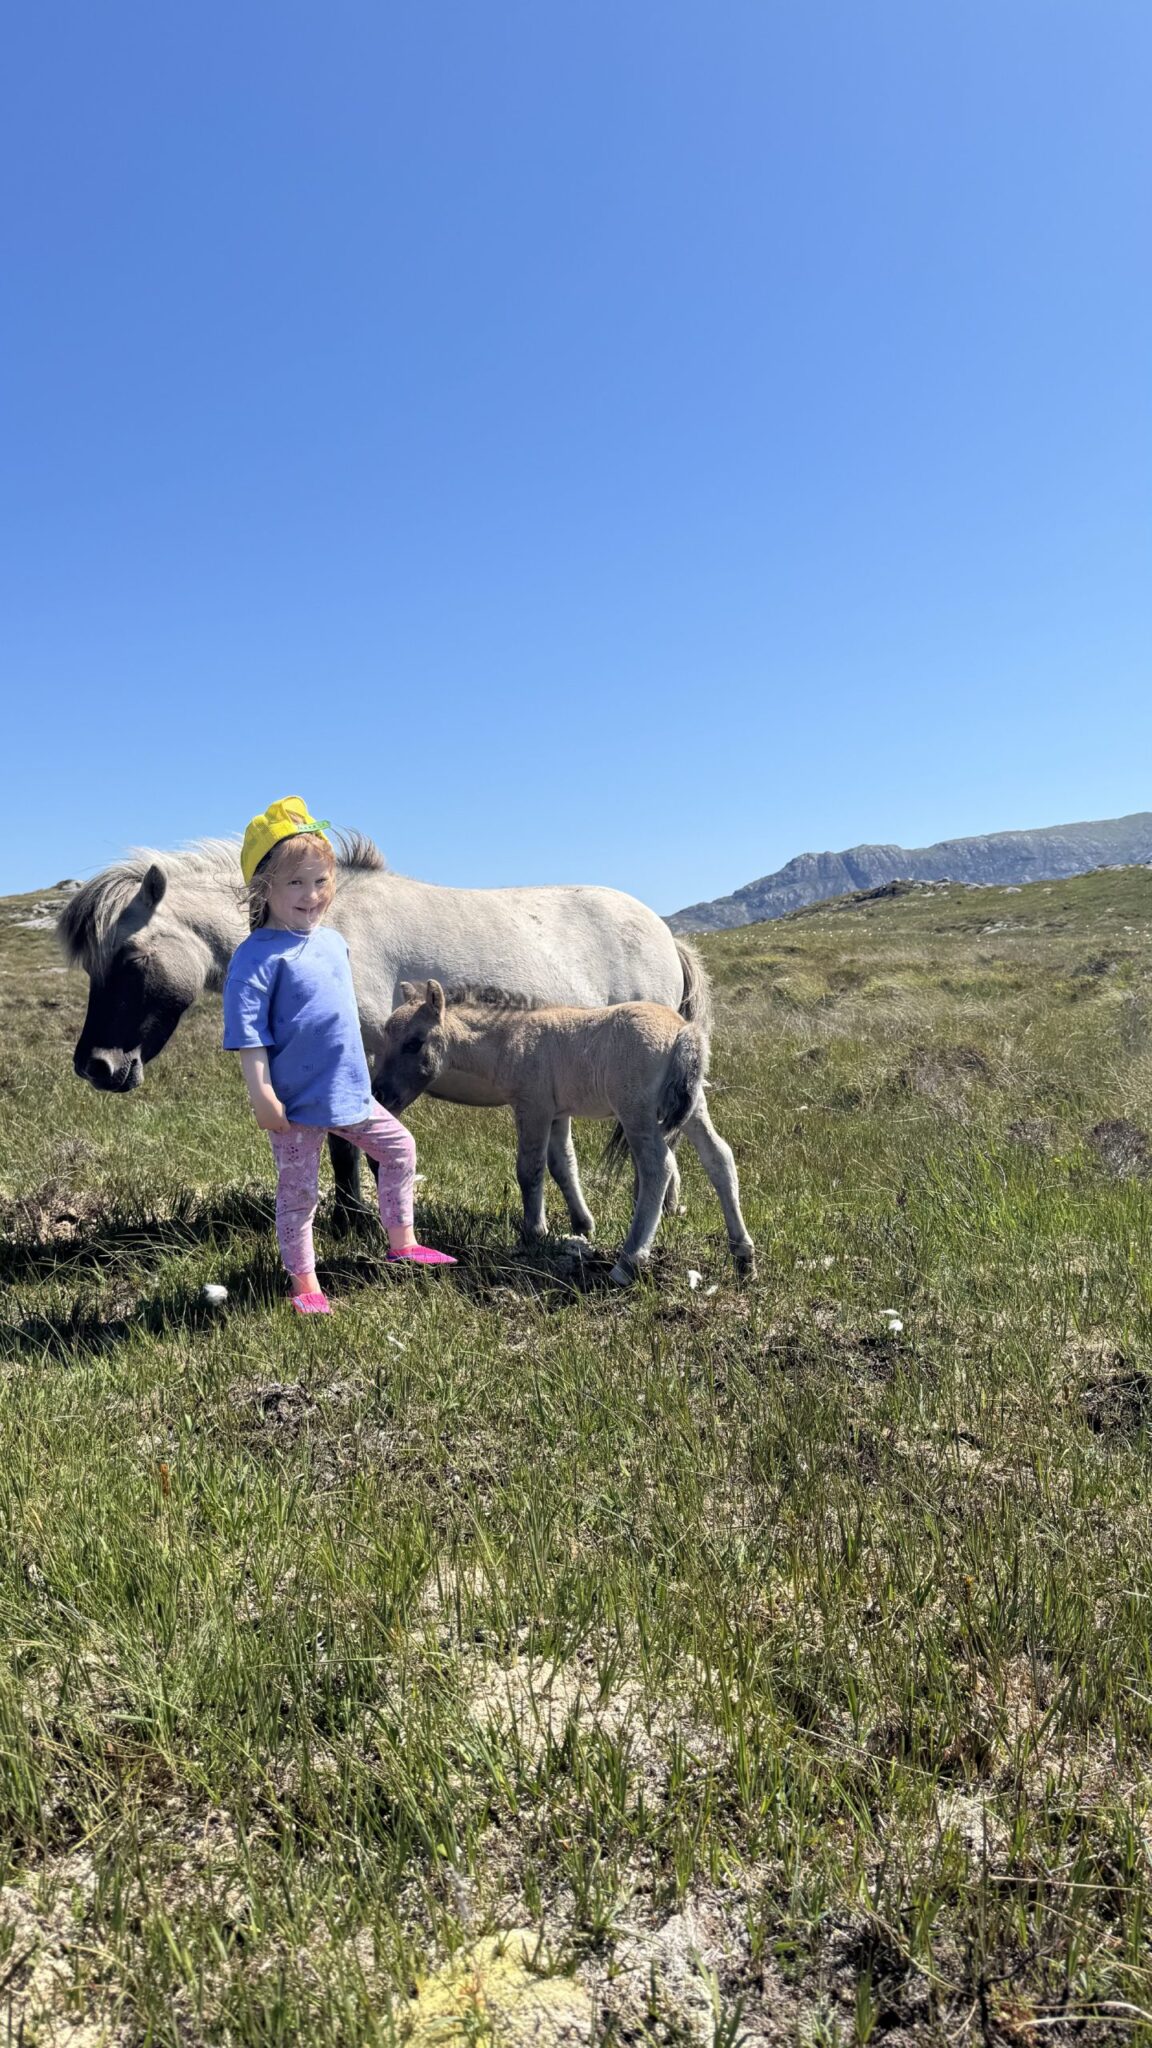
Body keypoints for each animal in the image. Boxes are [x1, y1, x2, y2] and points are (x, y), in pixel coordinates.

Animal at [57, 832, 712, 1219]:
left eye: (130, 958)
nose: (96, 1067)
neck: (321, 929)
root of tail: (664, 932)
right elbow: (341, 1146)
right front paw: (347, 1217)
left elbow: (368, 1142)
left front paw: (377, 1220)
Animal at [376, 980, 756, 1285]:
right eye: (386, 1037)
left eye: (414, 1042)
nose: (381, 1094)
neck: (511, 1039)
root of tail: (683, 1031)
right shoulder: (558, 1115)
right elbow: (564, 1166)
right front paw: (582, 1225)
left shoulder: (534, 1107)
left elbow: (529, 1170)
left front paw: (534, 1232)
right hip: (694, 1107)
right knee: (719, 1157)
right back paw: (743, 1256)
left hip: (637, 1112)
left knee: (657, 1168)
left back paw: (628, 1261)